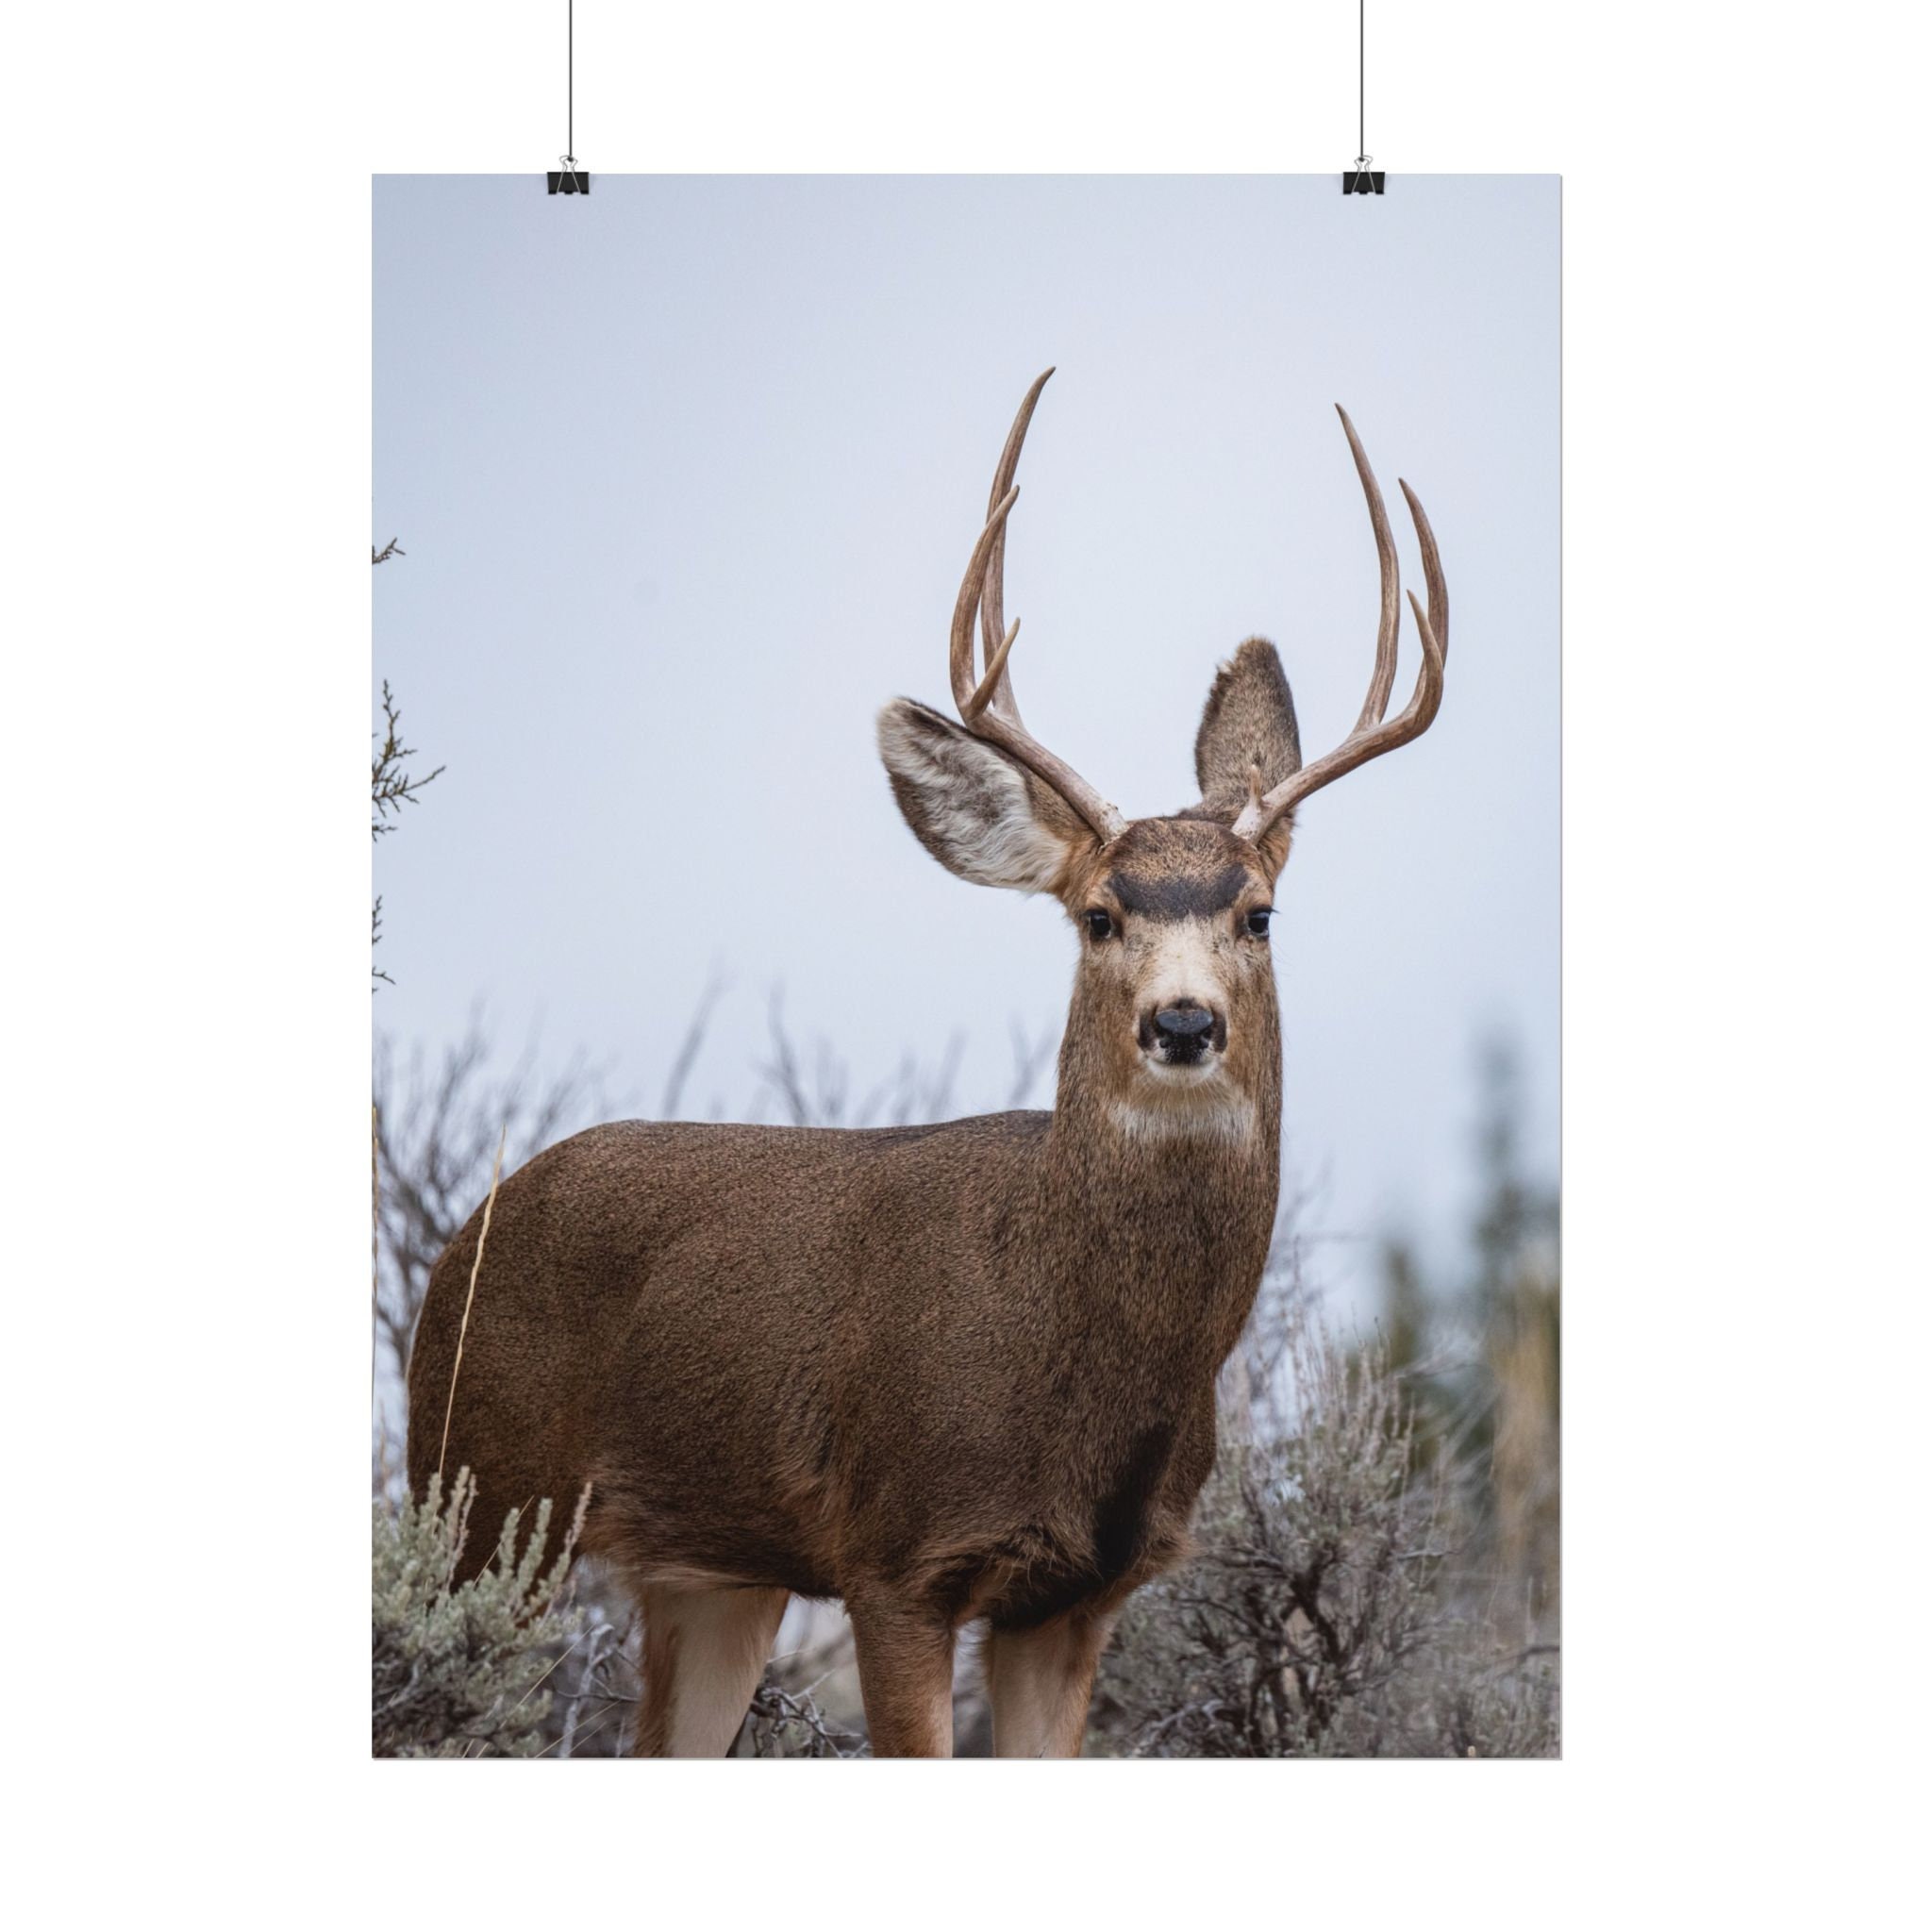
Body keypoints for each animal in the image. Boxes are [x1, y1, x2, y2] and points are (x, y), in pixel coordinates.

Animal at [405, 370, 1448, 1758]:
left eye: (1258, 914)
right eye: (1098, 914)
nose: (1180, 1024)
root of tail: (461, 1234)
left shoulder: (1081, 1594)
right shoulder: (896, 1553)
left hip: (710, 1572)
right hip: (474, 1492)